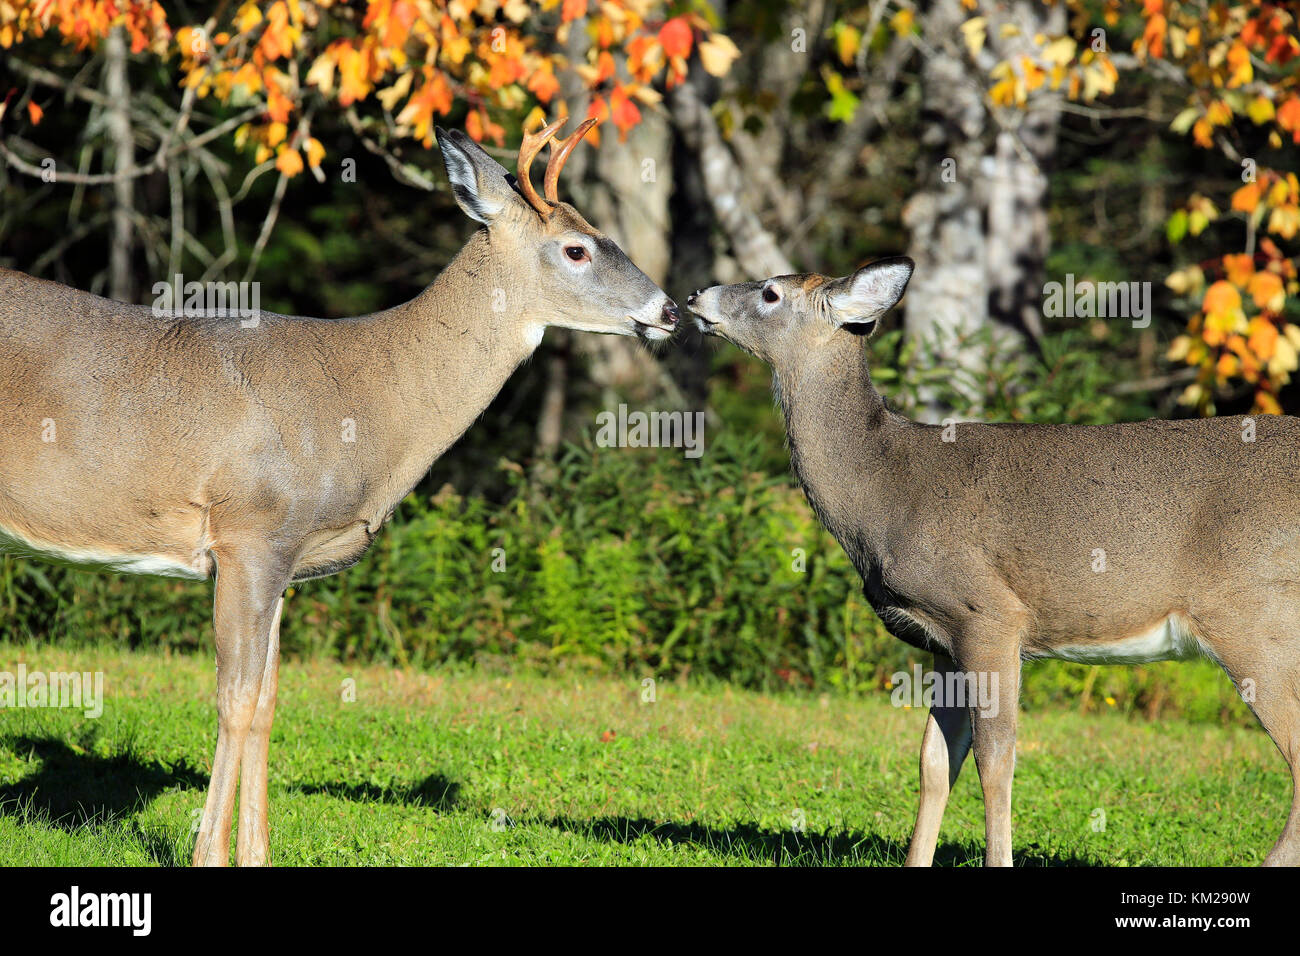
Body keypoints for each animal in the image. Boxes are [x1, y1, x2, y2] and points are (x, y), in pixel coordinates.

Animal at [0, 117, 680, 866]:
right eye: (576, 247)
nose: (672, 310)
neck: (368, 402)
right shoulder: (249, 532)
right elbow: (235, 699)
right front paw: (209, 853)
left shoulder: (287, 558)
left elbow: (268, 703)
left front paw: (256, 854)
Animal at [686, 257, 1300, 867]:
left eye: (770, 293)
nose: (694, 296)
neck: (883, 491)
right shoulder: (942, 642)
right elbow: (934, 762)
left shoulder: (989, 615)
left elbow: (996, 757)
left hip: (1254, 614)